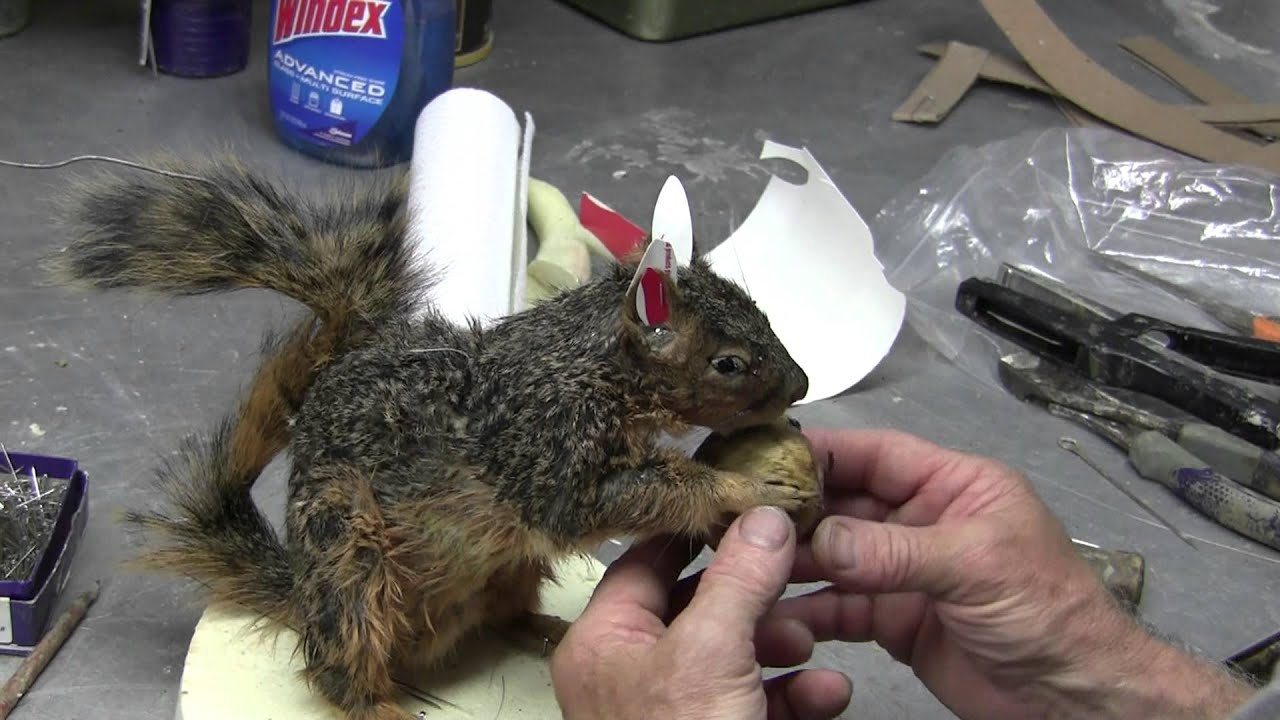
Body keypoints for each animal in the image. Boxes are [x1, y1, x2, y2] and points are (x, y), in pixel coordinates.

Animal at [48, 157, 814, 720]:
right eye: (728, 364)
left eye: (758, 306)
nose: (802, 384)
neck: (582, 363)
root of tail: (298, 592)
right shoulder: (543, 450)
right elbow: (610, 501)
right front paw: (747, 486)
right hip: (350, 554)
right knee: (337, 671)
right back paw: (379, 706)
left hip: (510, 565)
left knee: (499, 619)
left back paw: (546, 630)